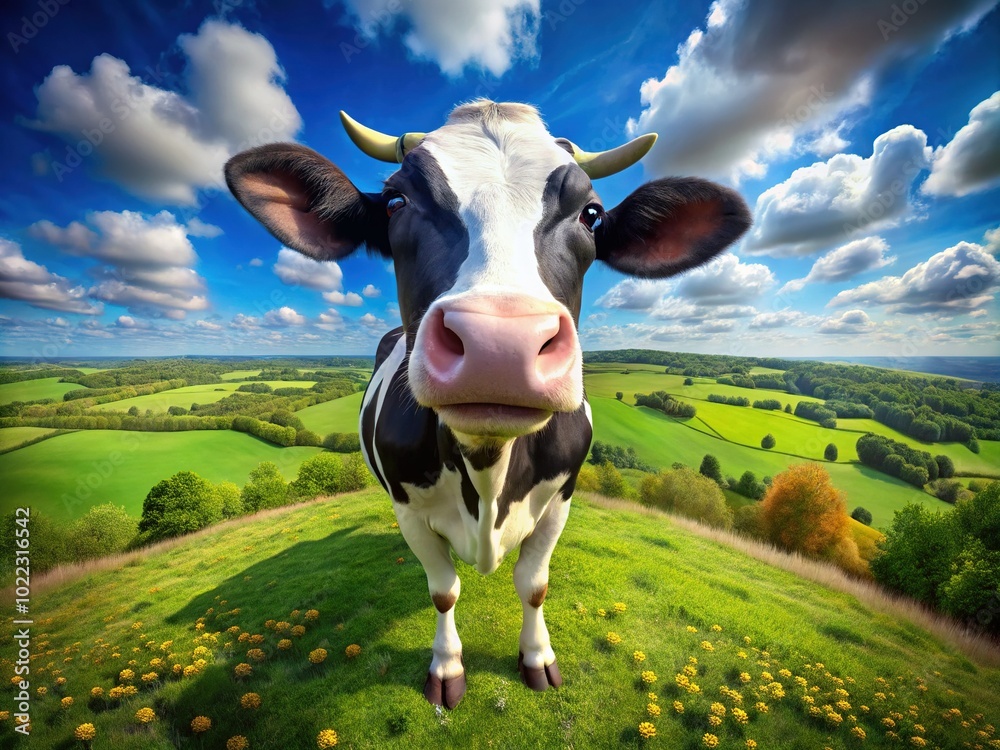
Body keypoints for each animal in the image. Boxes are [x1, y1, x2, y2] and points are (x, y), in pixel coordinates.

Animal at [225, 100, 751, 710]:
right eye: (398, 201)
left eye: (591, 214)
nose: (500, 343)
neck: (488, 469)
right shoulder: (408, 509)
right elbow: (443, 590)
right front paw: (448, 667)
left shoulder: (562, 498)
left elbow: (534, 585)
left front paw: (537, 657)